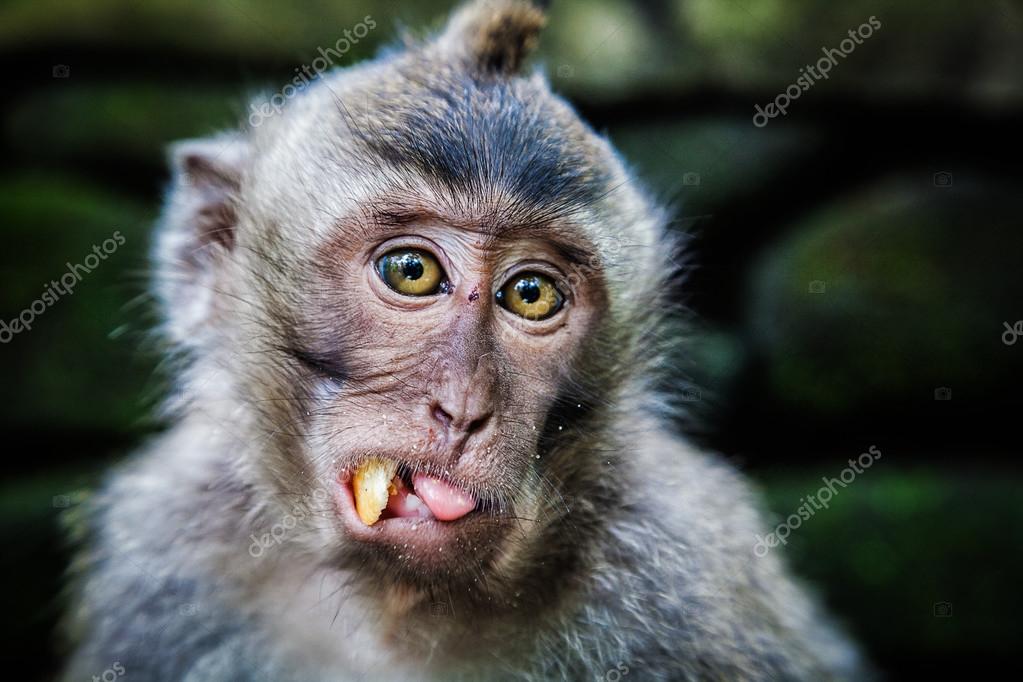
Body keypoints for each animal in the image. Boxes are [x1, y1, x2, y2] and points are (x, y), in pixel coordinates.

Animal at [60, 1, 867, 680]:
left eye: (530, 293)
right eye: (411, 271)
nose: (463, 408)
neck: (391, 607)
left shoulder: (687, 578)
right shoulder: (165, 559)